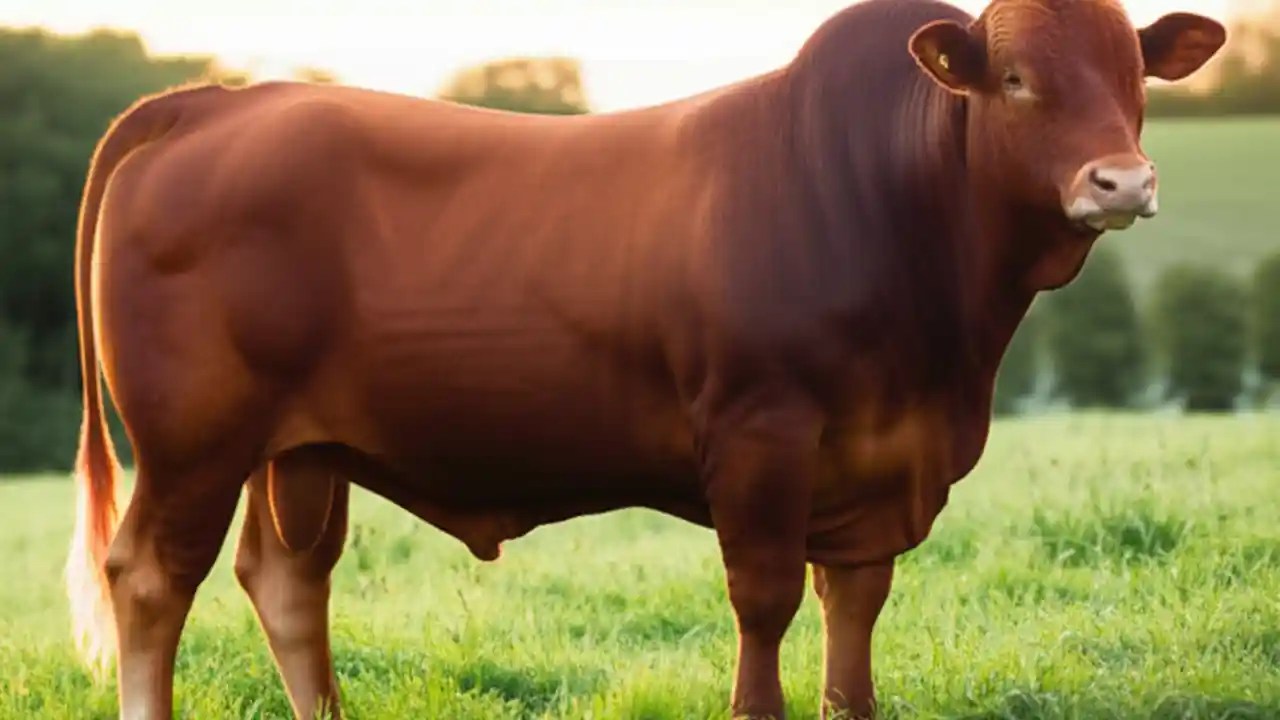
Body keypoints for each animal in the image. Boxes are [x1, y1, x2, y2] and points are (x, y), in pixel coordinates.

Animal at [63, 0, 1224, 717]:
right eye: (1017, 78)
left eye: (1135, 74)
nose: (1122, 181)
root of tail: (218, 98)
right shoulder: (762, 431)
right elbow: (764, 600)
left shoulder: (880, 462)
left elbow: (853, 612)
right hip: (194, 438)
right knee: (152, 579)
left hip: (300, 446)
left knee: (287, 581)